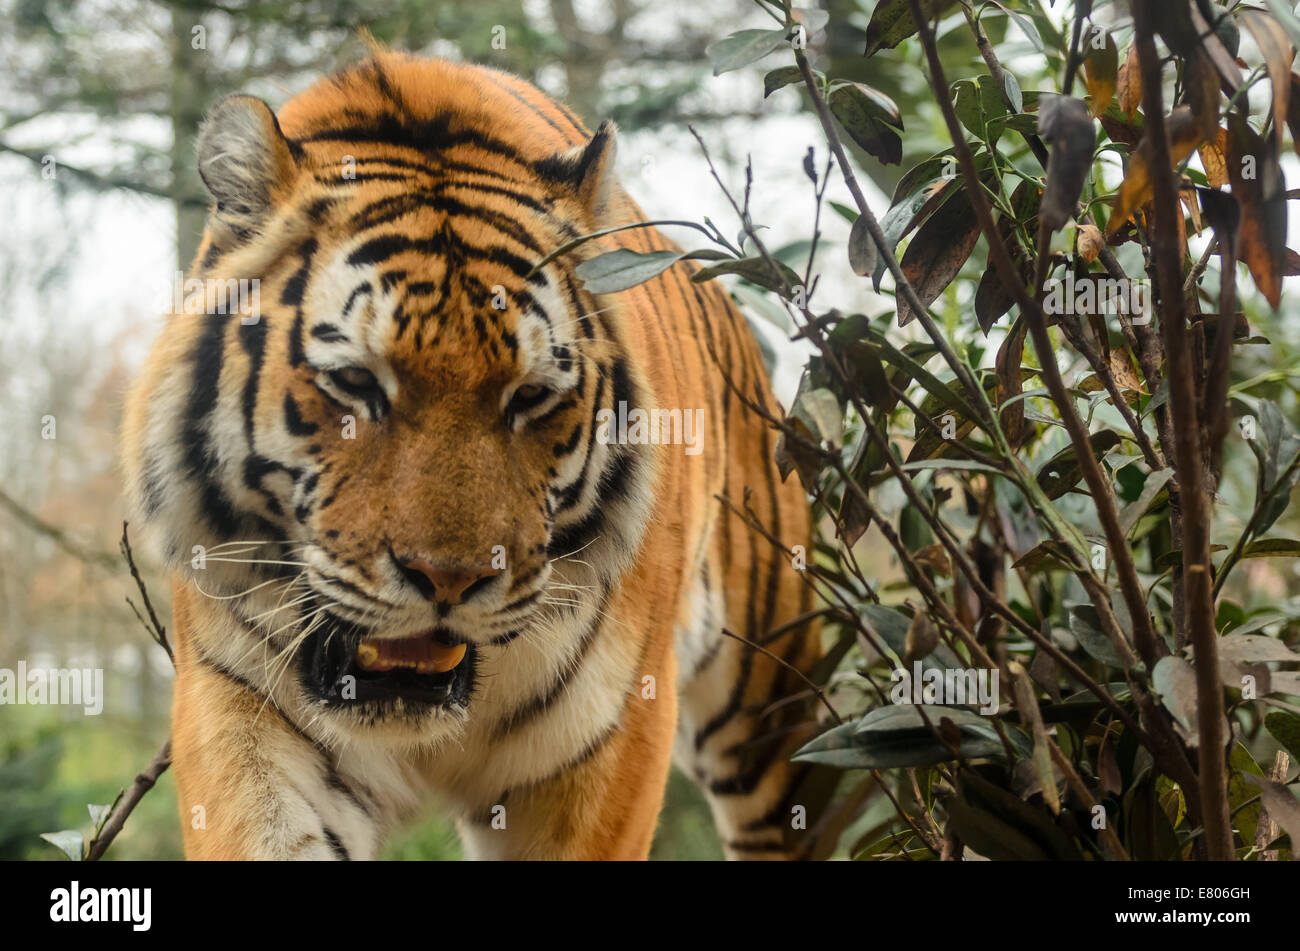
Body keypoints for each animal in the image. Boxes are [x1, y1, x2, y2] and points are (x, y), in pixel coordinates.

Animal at [121, 50, 829, 860]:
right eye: (356, 382)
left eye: (530, 397)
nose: (449, 579)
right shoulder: (241, 707)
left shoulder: (607, 737)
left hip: (771, 709)